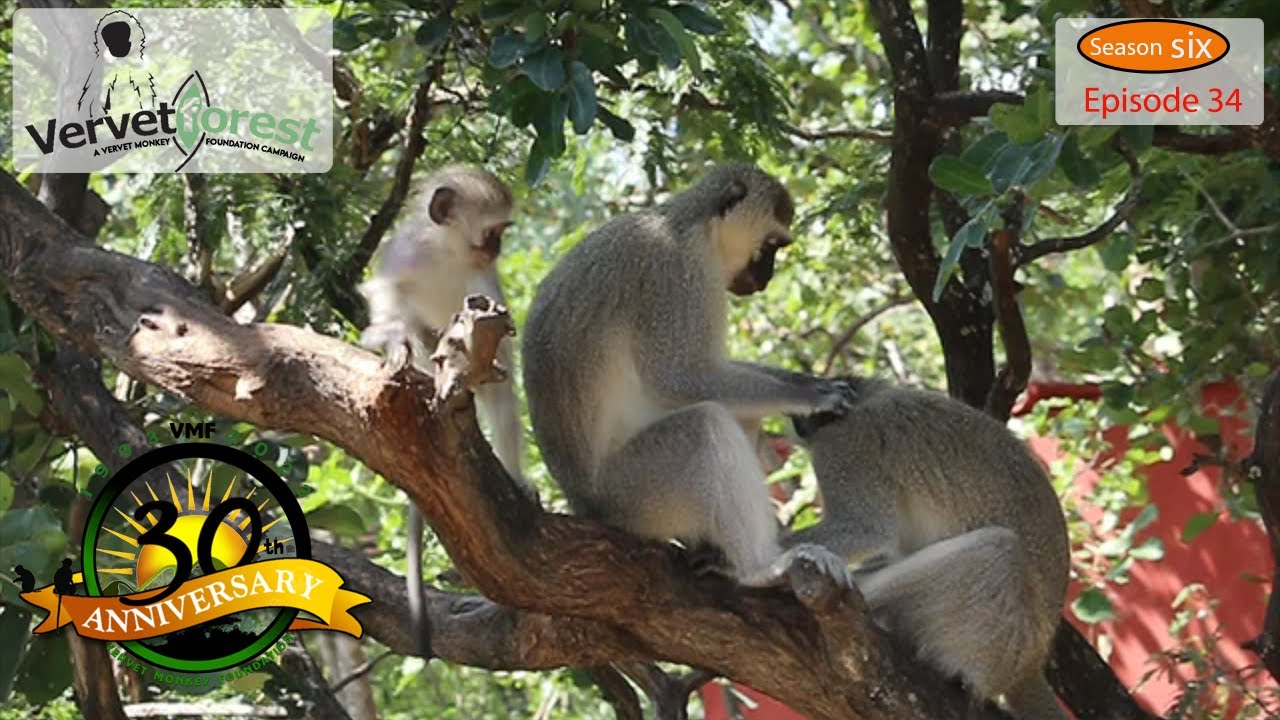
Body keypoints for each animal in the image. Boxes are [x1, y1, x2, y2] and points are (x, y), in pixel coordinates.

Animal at [358, 164, 528, 658]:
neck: (449, 254)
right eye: (492, 232)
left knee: (496, 385)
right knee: (417, 330)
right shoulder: (407, 253)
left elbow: (500, 359)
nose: (499, 249)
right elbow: (385, 292)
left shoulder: (482, 285)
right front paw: (390, 339)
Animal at [522, 162, 855, 588]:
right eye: (772, 246)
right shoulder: (678, 276)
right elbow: (677, 376)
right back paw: (761, 568)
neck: (690, 225)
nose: (767, 276)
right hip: (635, 493)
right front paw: (812, 398)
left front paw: (808, 383)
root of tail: (587, 507)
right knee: (704, 426)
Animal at [786, 376, 1071, 719]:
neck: (864, 397)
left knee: (999, 550)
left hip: (994, 637)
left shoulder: (848, 444)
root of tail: (1027, 668)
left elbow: (865, 529)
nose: (794, 421)